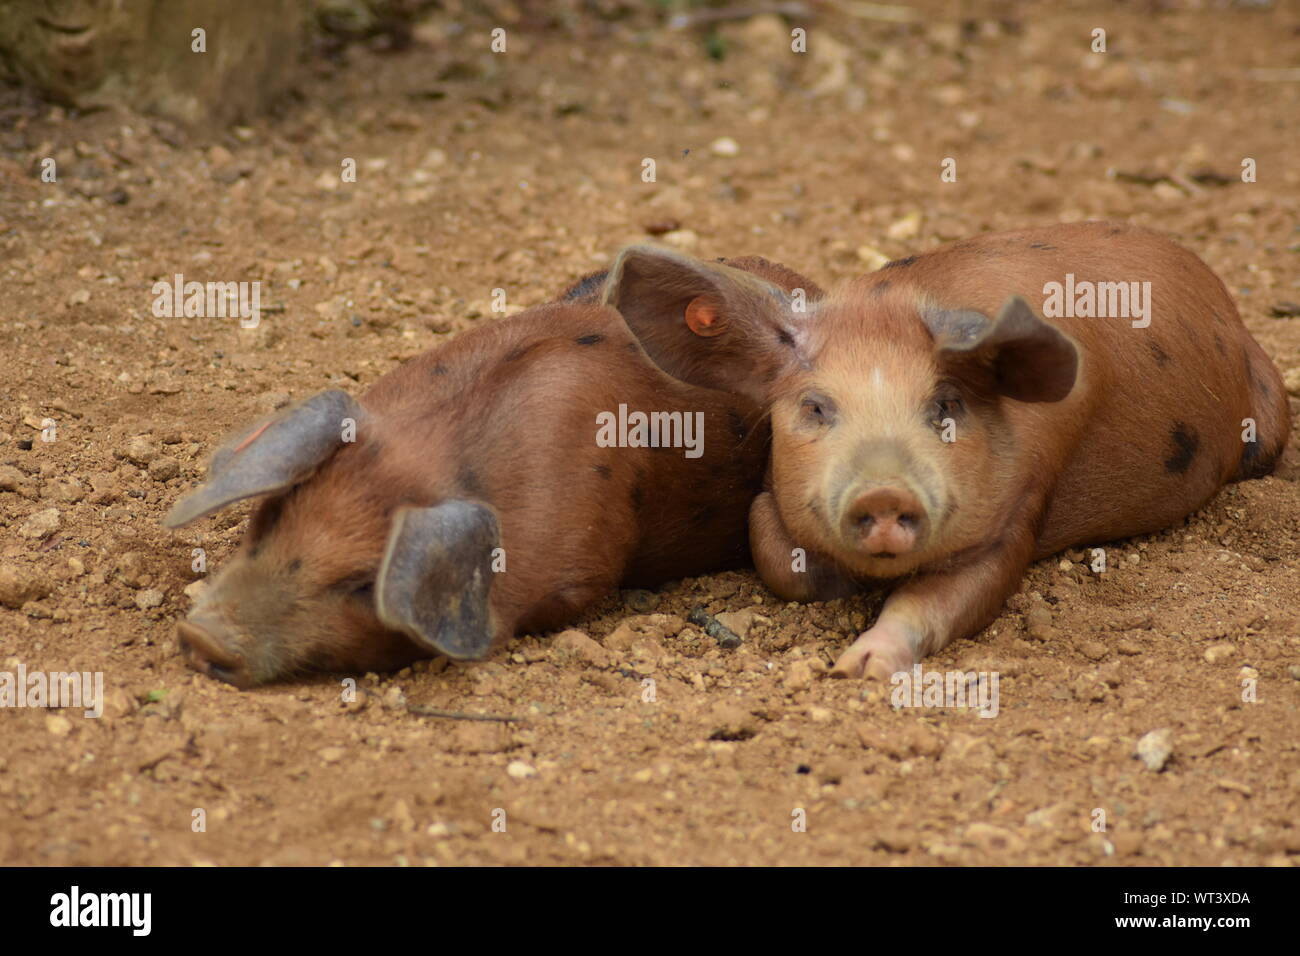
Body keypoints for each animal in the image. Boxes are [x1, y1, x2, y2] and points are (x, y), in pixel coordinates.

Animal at [601, 221, 1291, 679]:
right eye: (816, 407)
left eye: (946, 407)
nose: (883, 490)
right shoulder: (768, 495)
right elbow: (770, 545)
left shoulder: (1019, 511)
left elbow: (946, 600)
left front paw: (857, 667)